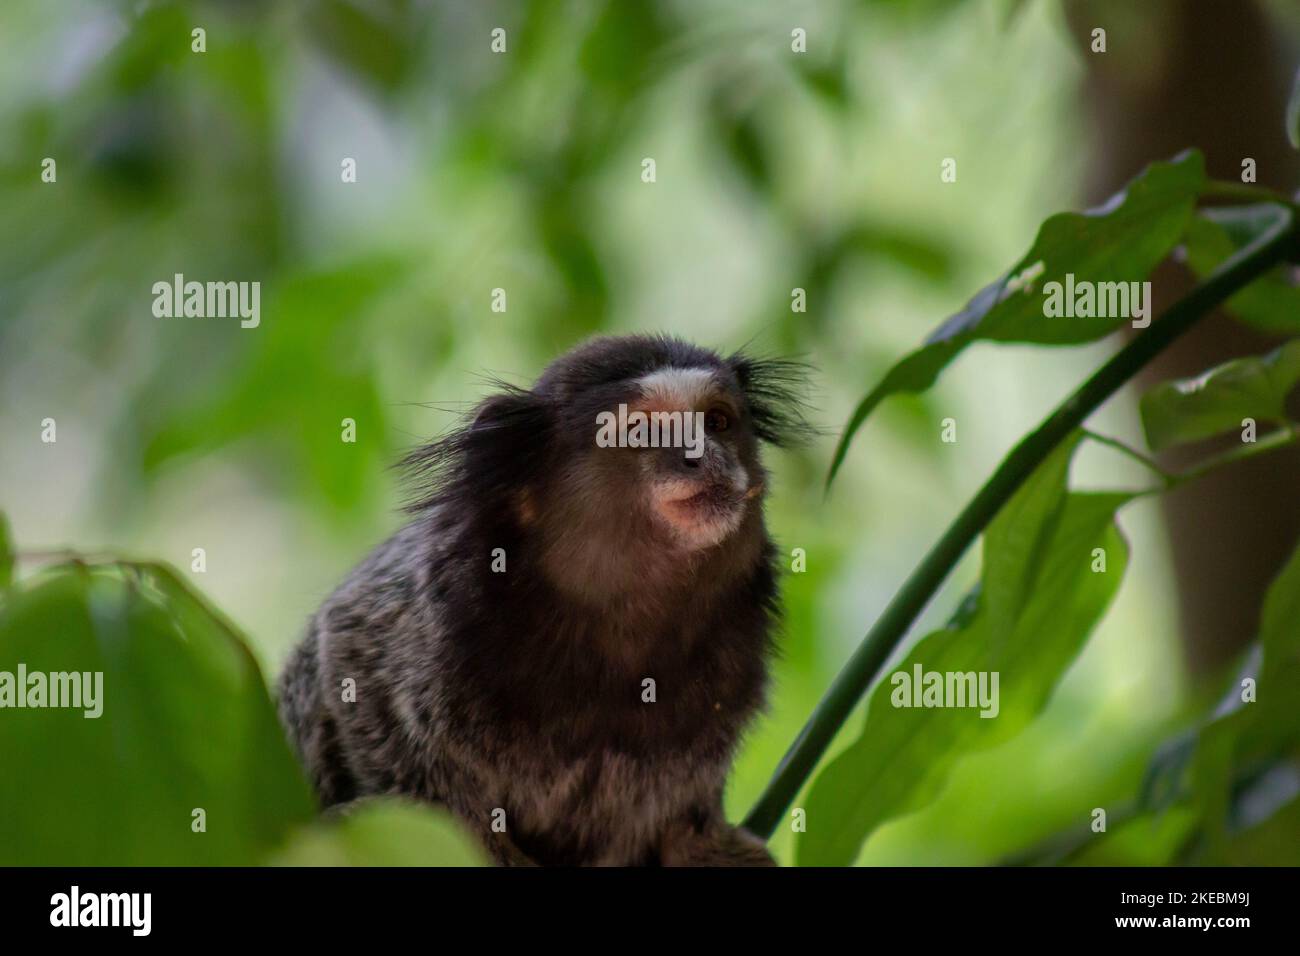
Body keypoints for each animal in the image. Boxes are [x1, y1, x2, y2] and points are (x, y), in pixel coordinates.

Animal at [277, 334, 812, 865]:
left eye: (716, 422)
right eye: (642, 430)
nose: (703, 454)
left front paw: (698, 840)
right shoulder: (424, 609)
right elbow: (348, 663)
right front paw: (477, 840)